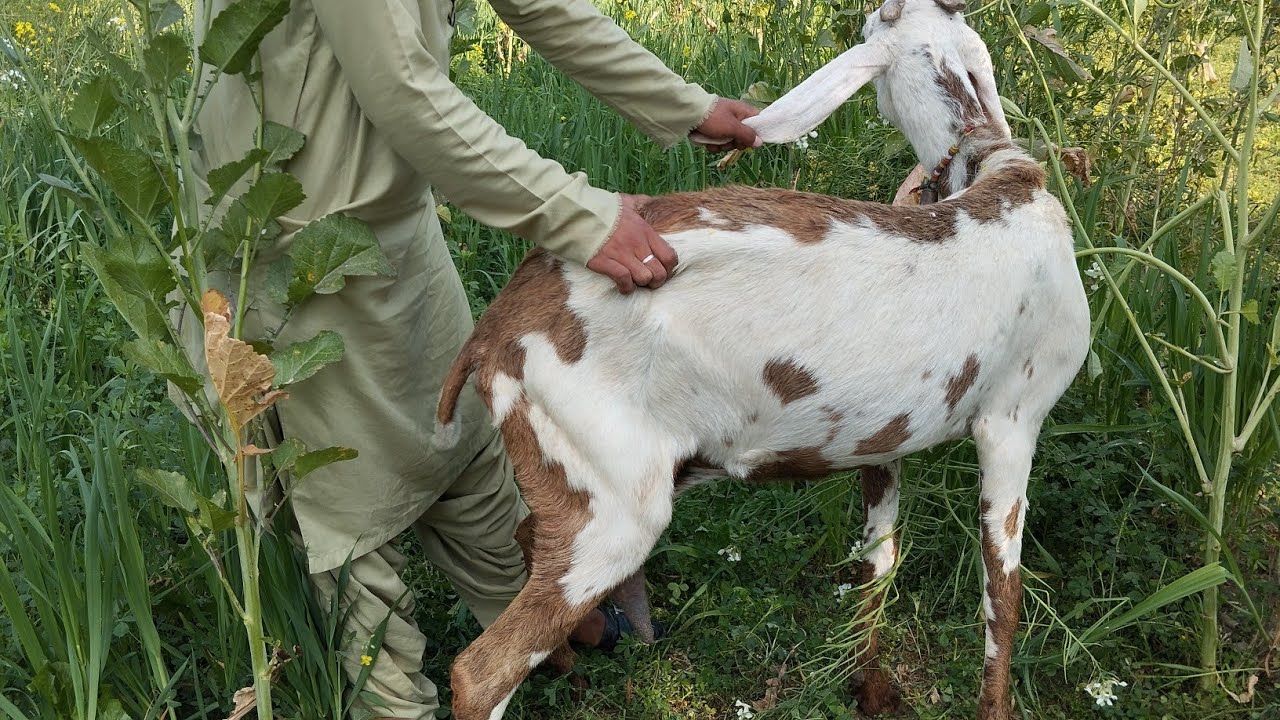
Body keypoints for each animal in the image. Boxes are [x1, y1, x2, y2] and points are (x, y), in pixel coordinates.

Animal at [434, 1, 1091, 717]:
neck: (998, 175)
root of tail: (493, 333)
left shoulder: (881, 439)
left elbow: (877, 559)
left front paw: (869, 687)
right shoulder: (1013, 421)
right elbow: (1003, 597)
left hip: (577, 482)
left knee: (526, 545)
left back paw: (576, 659)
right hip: (612, 503)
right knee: (482, 670)